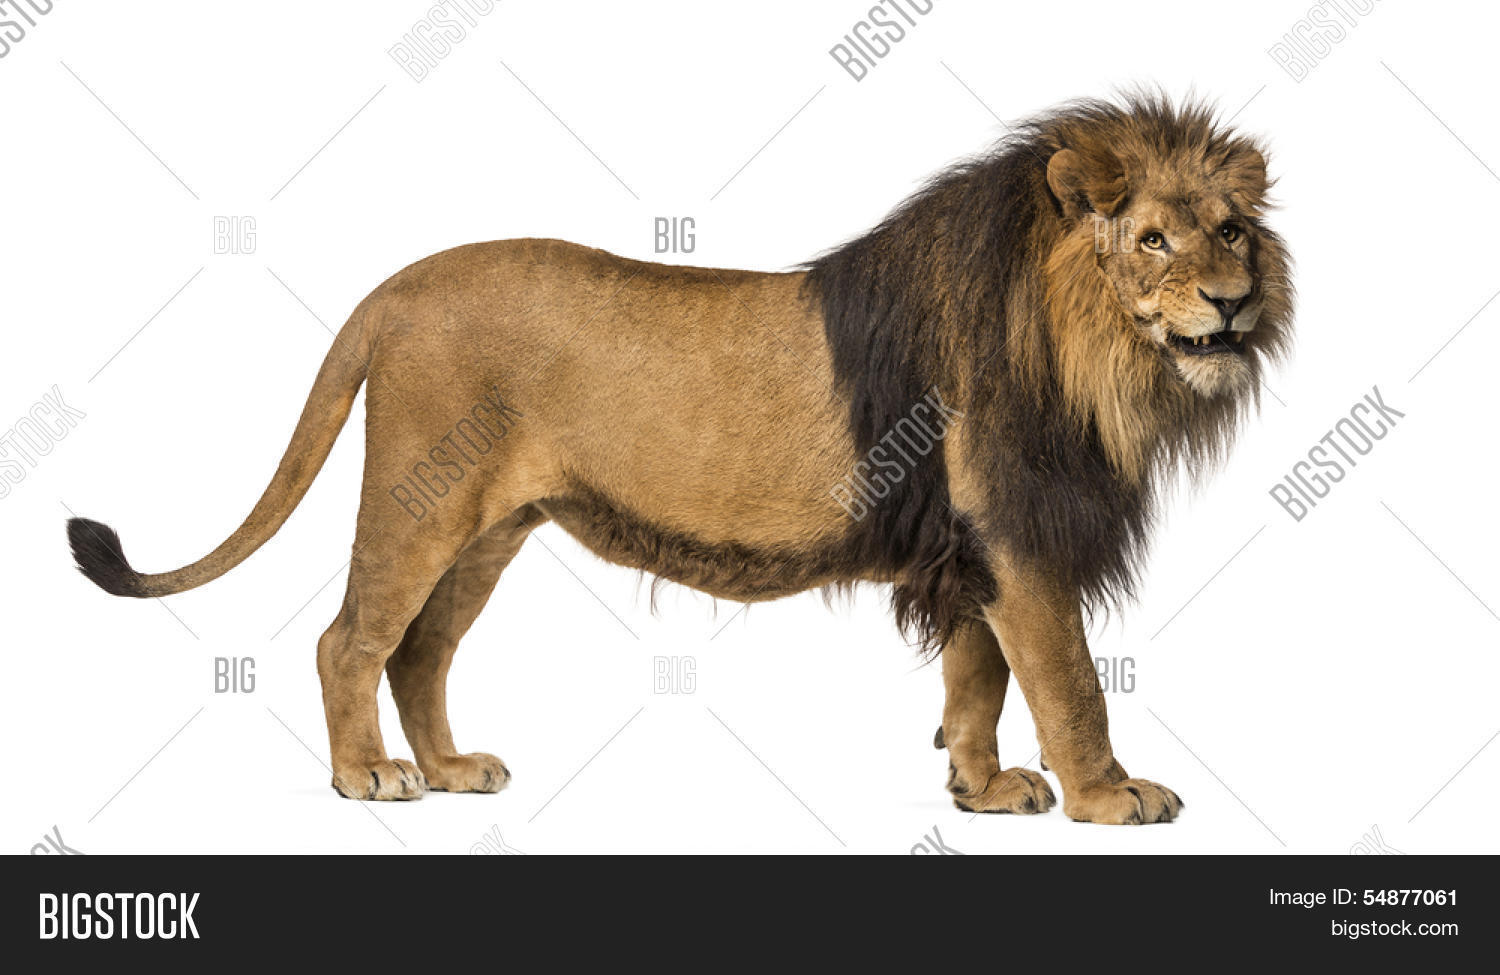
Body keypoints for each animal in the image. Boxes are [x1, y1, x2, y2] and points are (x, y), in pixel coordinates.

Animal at [67, 94, 1291, 824]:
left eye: (1232, 230)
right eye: (1153, 240)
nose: (1233, 303)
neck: (1100, 361)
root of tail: (396, 287)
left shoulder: (972, 545)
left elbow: (977, 675)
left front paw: (982, 789)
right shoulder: (1017, 535)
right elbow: (1068, 677)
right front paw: (1110, 795)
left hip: (493, 530)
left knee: (419, 653)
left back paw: (456, 771)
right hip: (420, 505)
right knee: (348, 639)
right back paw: (369, 778)